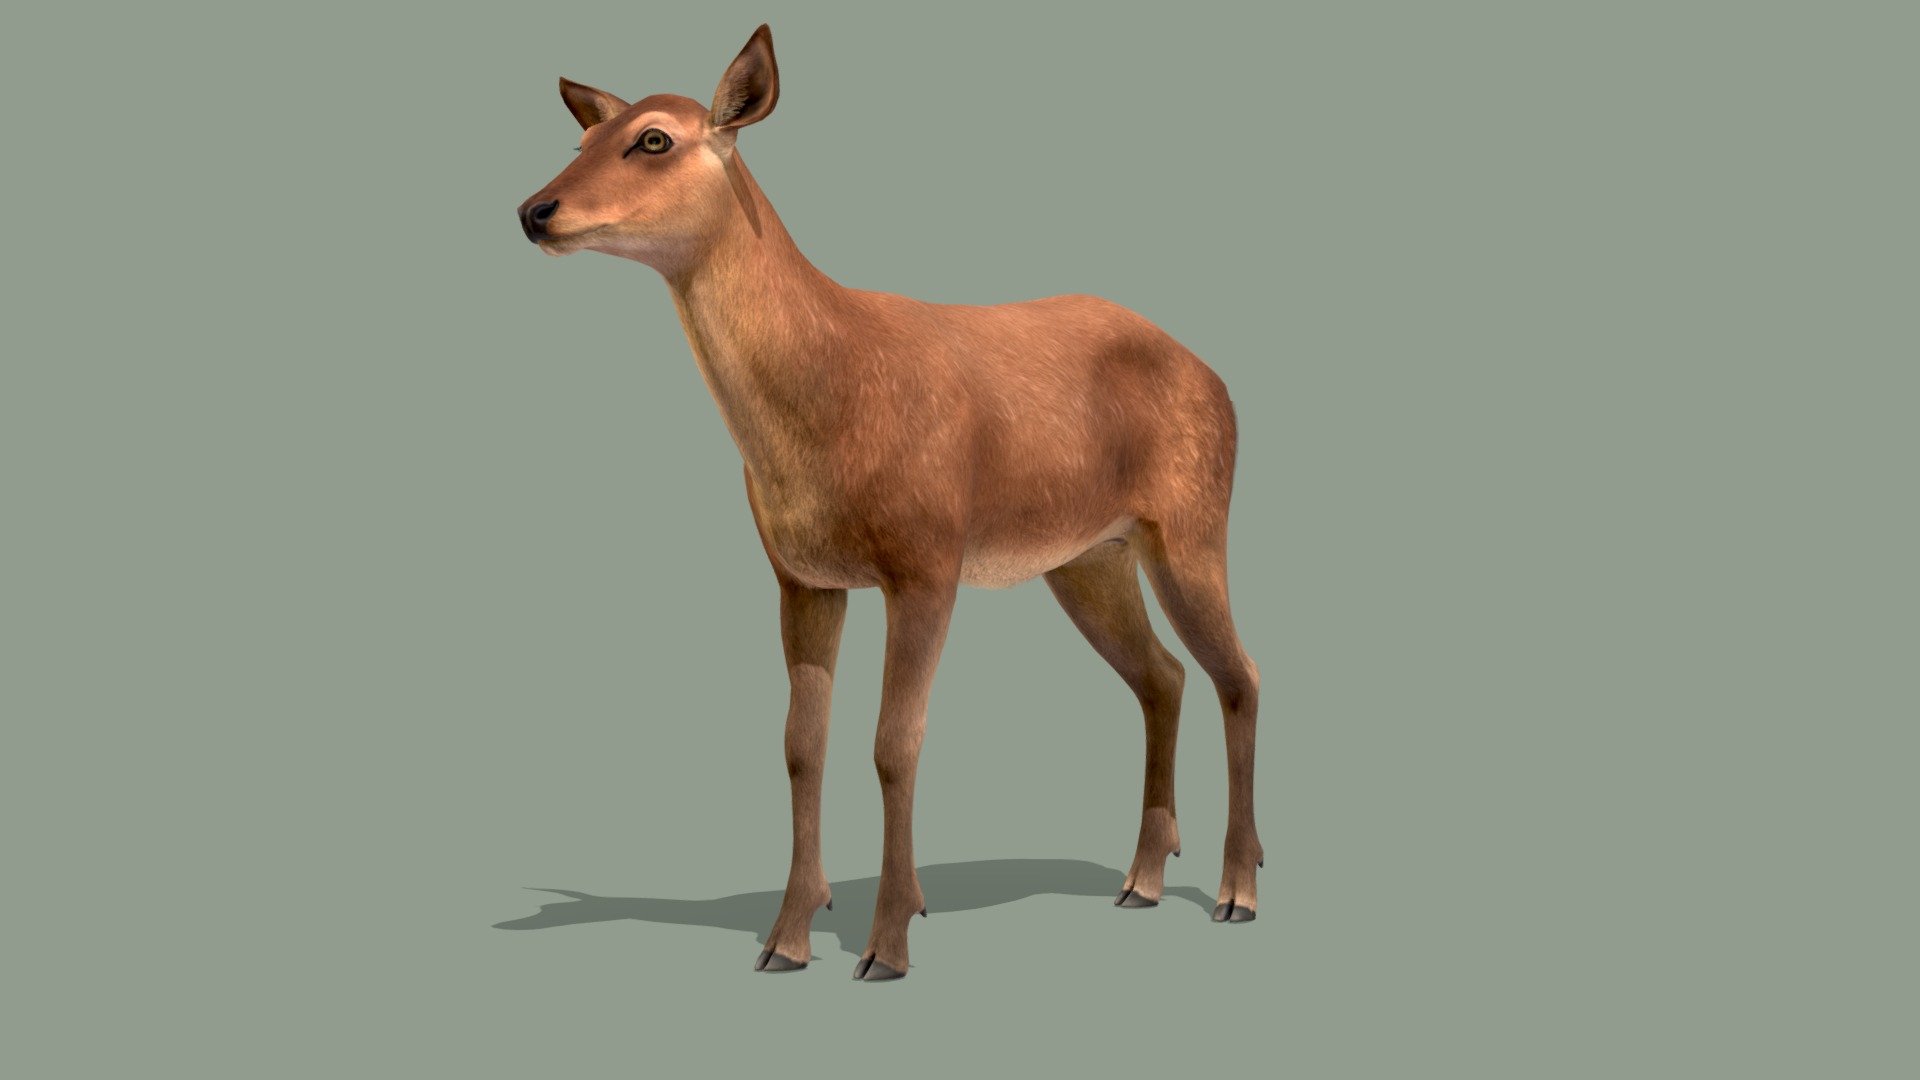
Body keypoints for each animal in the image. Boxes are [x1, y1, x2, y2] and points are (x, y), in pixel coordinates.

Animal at [516, 25, 1262, 981]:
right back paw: (1140, 879)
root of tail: (1219, 382)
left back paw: (1238, 890)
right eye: (582, 138)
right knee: (1163, 676)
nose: (535, 211)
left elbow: (894, 744)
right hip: (1087, 558)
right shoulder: (800, 575)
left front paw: (888, 943)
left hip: (1193, 518)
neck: (831, 397)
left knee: (1239, 675)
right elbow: (802, 747)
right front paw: (787, 939)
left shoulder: (926, 560)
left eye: (654, 139)